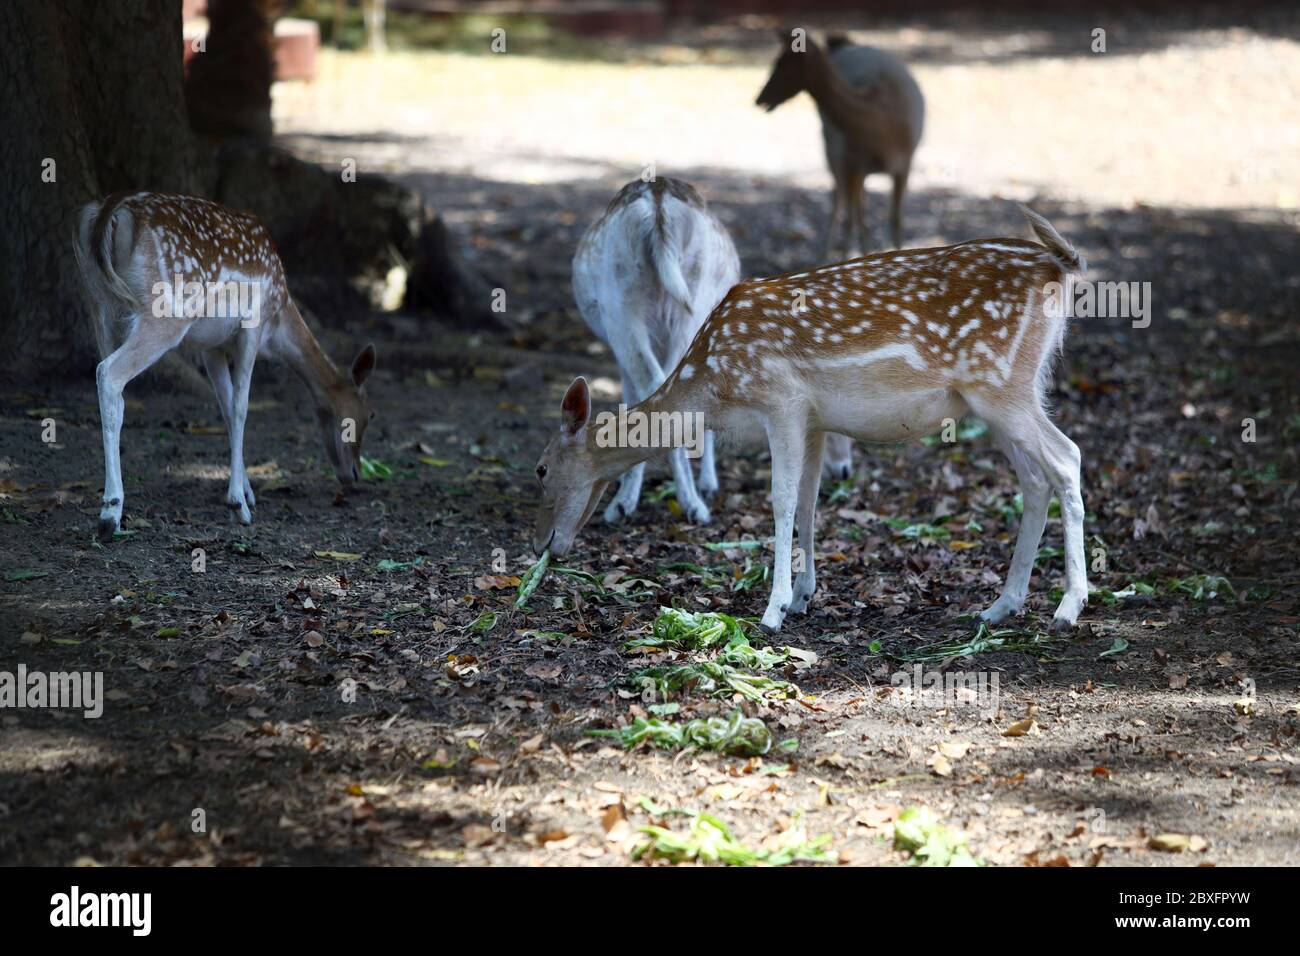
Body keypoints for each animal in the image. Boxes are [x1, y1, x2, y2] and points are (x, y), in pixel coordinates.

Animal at [75, 192, 377, 543]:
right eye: (367, 415)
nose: (354, 474)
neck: (279, 321)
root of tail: (110, 213)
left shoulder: (211, 346)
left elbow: (225, 406)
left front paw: (247, 492)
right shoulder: (252, 325)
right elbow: (241, 407)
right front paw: (238, 505)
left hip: (98, 304)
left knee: (114, 388)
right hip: (166, 311)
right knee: (108, 373)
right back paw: (109, 515)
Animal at [533, 206, 1088, 636]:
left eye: (540, 469)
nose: (542, 545)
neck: (712, 386)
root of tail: (1059, 267)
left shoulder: (781, 399)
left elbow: (779, 499)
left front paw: (773, 609)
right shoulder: (815, 421)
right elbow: (808, 500)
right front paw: (803, 595)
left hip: (1000, 385)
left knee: (1066, 458)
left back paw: (1068, 606)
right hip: (1002, 395)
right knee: (1034, 479)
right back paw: (1000, 606)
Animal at [757, 30, 924, 261]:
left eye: (783, 64)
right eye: (777, 61)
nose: (759, 99)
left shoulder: (905, 162)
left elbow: (895, 220)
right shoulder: (853, 161)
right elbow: (855, 218)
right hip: (833, 150)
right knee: (840, 203)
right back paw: (828, 255)